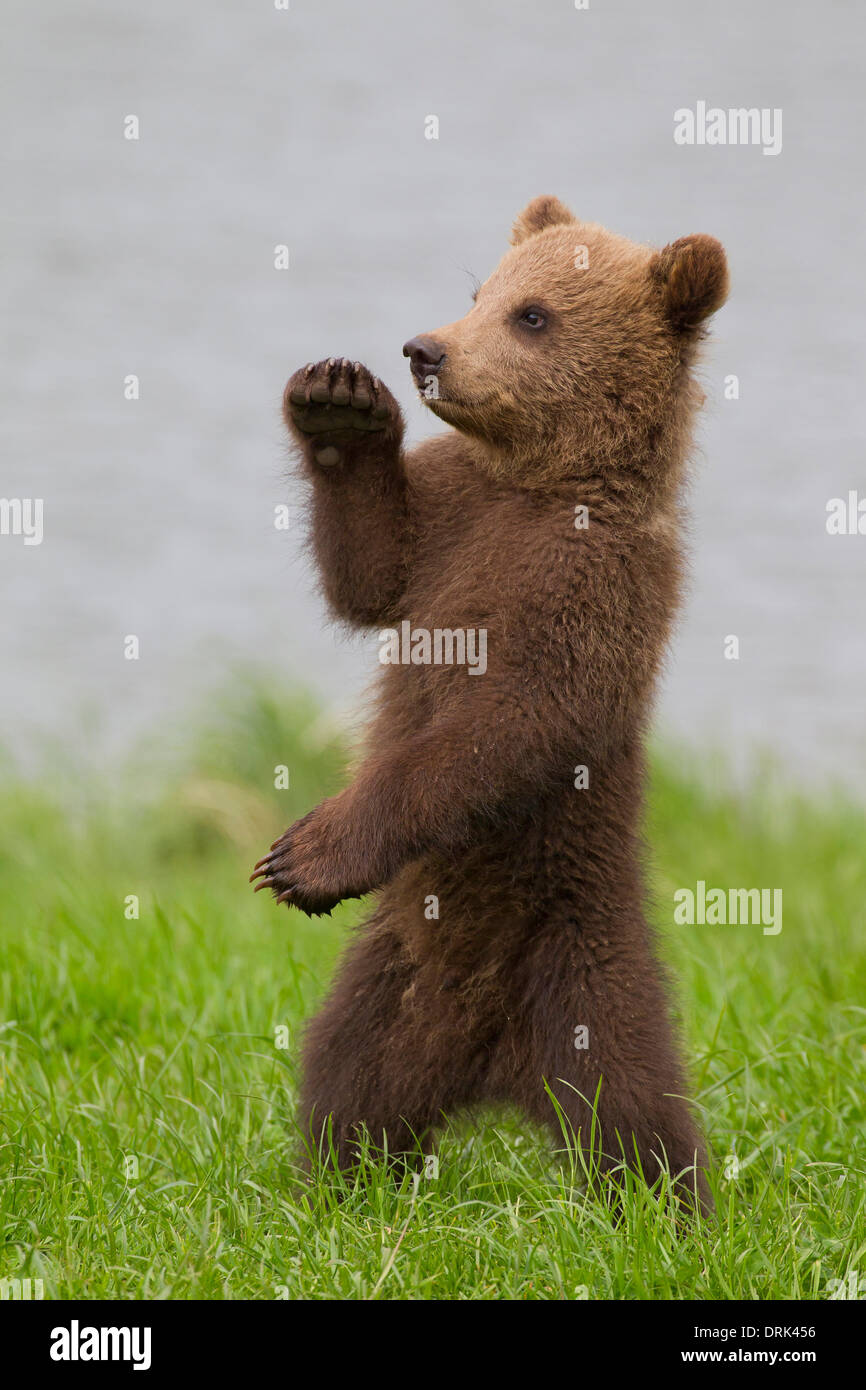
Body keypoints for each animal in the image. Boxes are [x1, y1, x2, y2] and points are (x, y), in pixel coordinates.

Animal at [251, 195, 728, 1213]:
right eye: (482, 292)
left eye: (533, 315)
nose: (426, 349)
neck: (542, 485)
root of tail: (489, 1067)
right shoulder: (451, 523)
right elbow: (371, 570)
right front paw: (338, 398)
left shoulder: (592, 588)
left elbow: (505, 726)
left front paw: (304, 854)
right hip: (388, 973)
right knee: (345, 1075)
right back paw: (333, 1187)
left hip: (581, 962)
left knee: (635, 1111)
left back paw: (675, 1214)